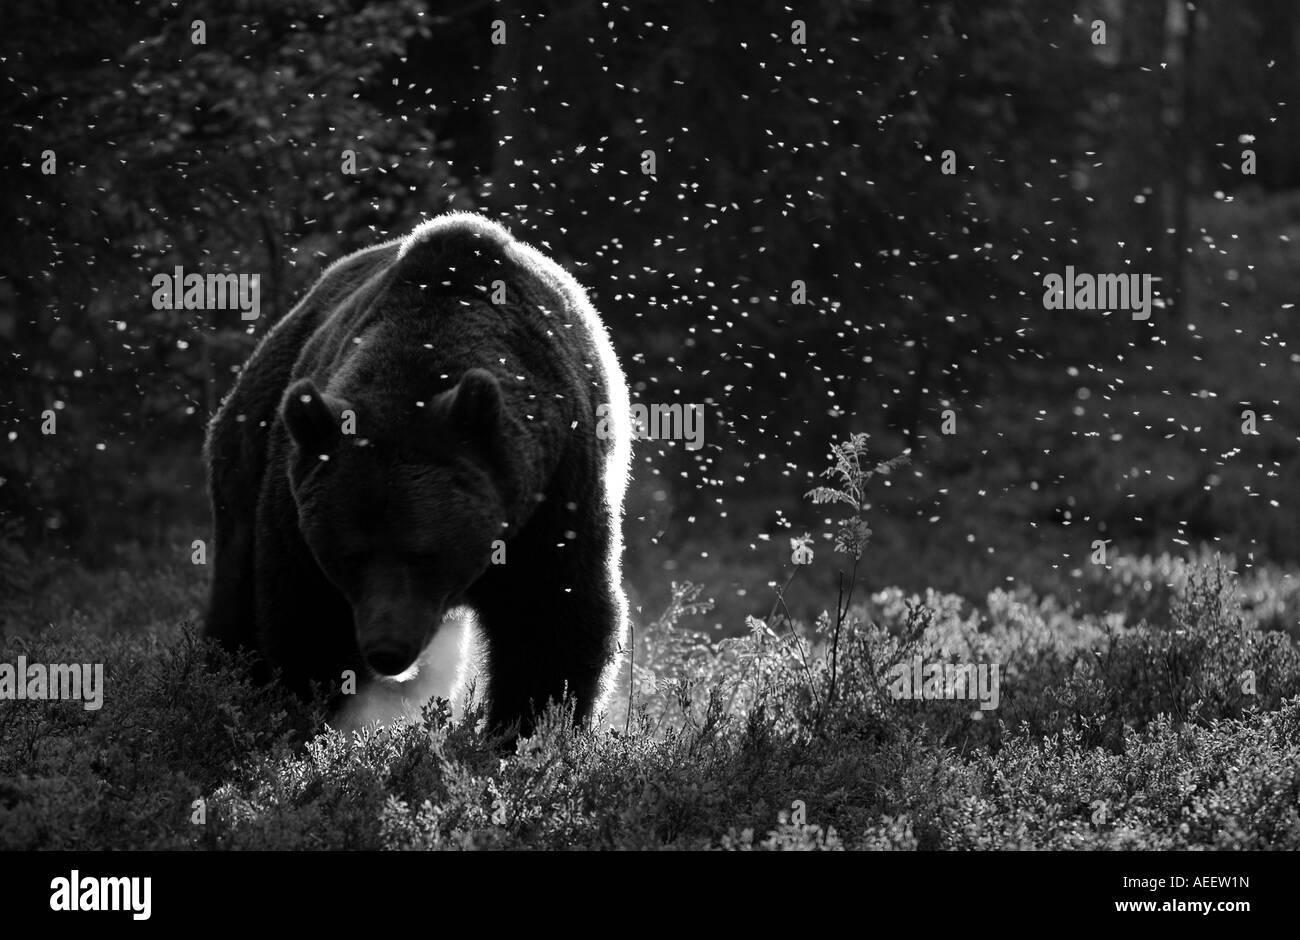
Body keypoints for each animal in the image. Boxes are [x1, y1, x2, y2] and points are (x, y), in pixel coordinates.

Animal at [203, 212, 632, 738]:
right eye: (351, 555)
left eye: (425, 553)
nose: (387, 649)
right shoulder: (294, 507)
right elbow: (306, 620)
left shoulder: (556, 490)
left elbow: (554, 619)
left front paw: (527, 729)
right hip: (251, 444)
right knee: (234, 598)